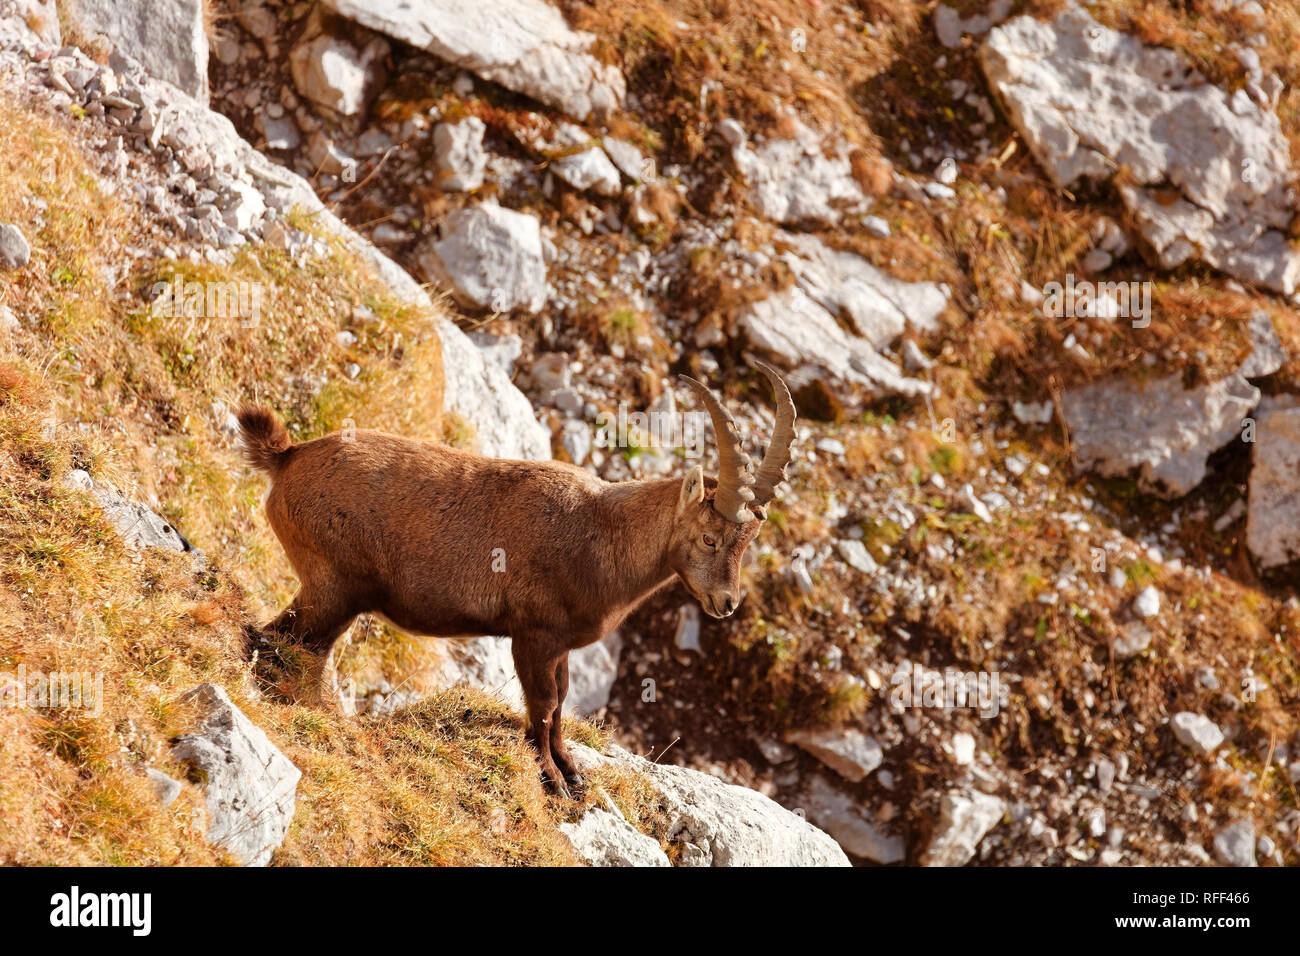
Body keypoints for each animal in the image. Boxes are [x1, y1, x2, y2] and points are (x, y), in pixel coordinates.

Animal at [238, 361, 796, 796]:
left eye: (746, 544)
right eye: (709, 538)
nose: (727, 602)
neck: (602, 533)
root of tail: (287, 457)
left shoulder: (560, 645)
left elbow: (562, 701)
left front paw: (571, 770)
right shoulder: (533, 636)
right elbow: (544, 705)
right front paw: (551, 778)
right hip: (336, 587)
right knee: (288, 641)